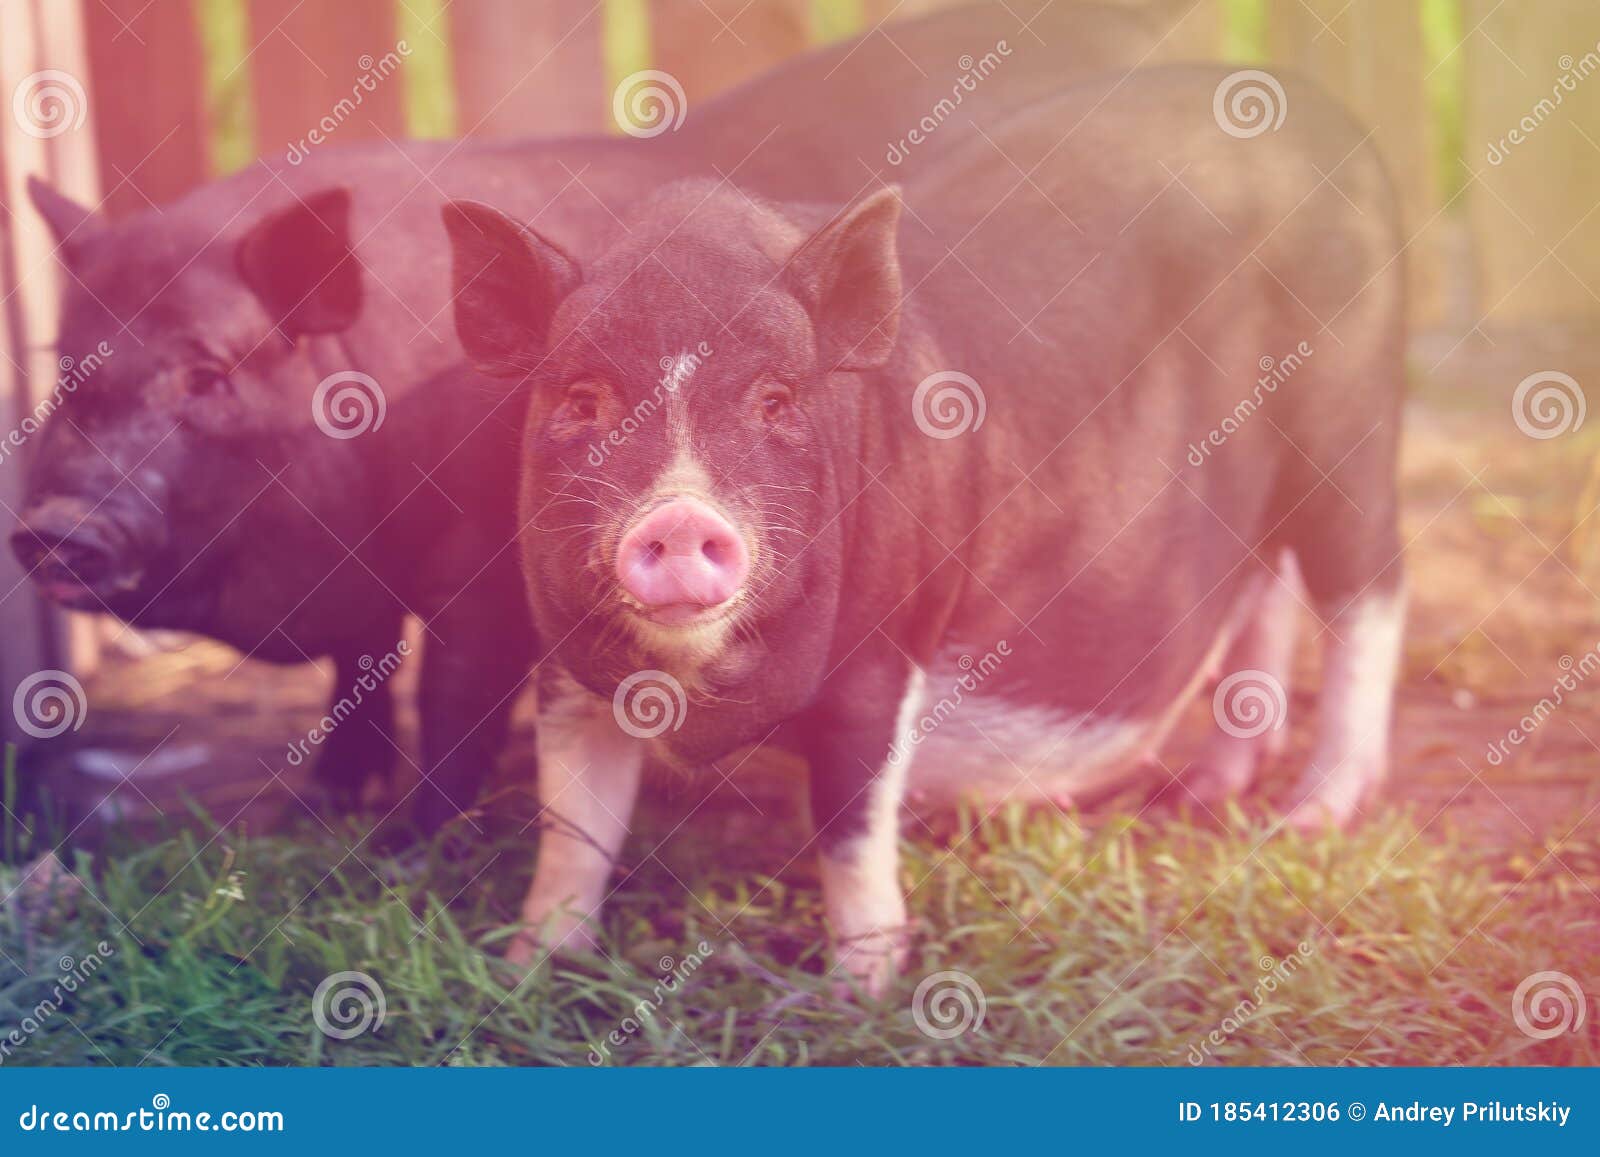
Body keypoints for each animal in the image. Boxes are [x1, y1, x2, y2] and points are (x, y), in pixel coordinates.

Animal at [8, 0, 1180, 830]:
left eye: (207, 375)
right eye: (68, 364)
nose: (56, 527)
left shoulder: (483, 569)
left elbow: (456, 699)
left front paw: (409, 841)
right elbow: (359, 672)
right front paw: (336, 798)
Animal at [444, 64, 1406, 993]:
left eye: (777, 400)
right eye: (581, 399)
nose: (680, 516)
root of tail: (1332, 123)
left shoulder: (884, 643)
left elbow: (850, 822)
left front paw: (863, 989)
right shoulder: (560, 650)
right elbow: (574, 822)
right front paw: (527, 970)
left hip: (1349, 420)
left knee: (1370, 593)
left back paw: (1309, 819)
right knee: (1270, 585)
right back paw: (1210, 792)